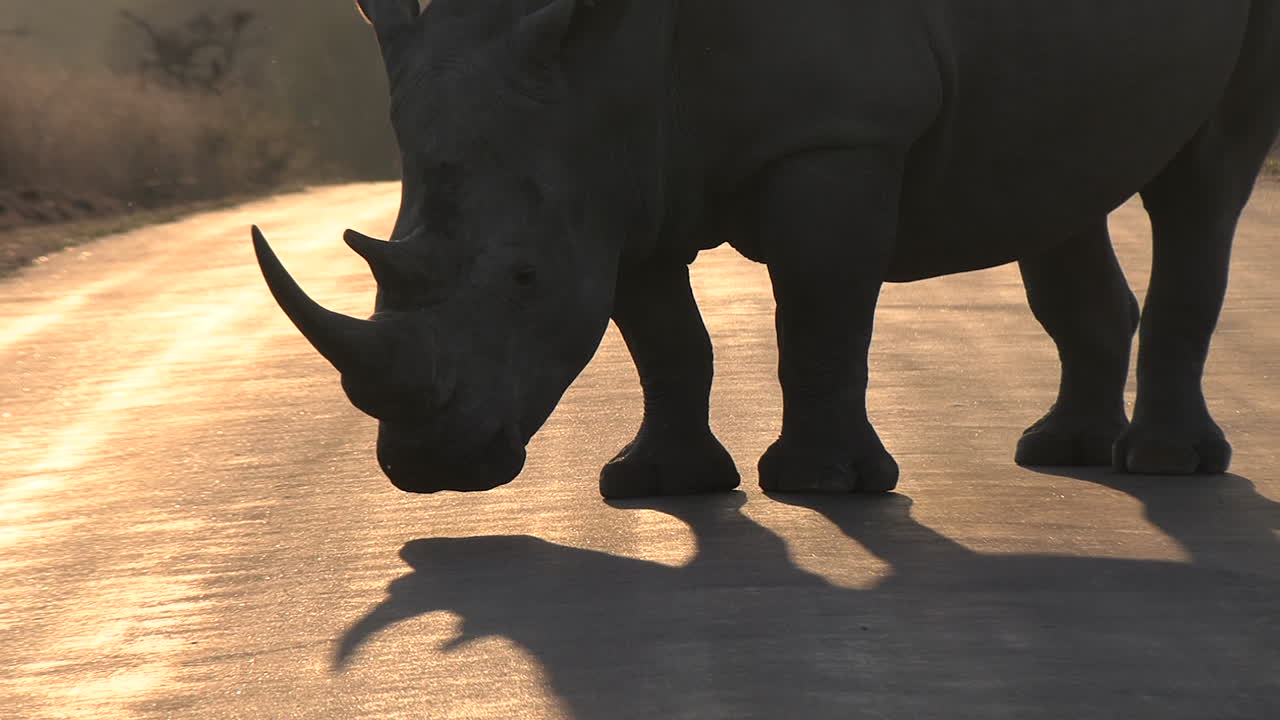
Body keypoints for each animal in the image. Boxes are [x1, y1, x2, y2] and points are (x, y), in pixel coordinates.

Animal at [253, 0, 1280, 497]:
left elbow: (820, 313)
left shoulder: (837, 134)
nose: (427, 468)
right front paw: (658, 486)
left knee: (1202, 182)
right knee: (1062, 185)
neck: (600, 67)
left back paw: (1164, 465)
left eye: (523, 278)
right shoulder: (618, 167)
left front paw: (822, 485)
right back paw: (1063, 454)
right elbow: (664, 337)